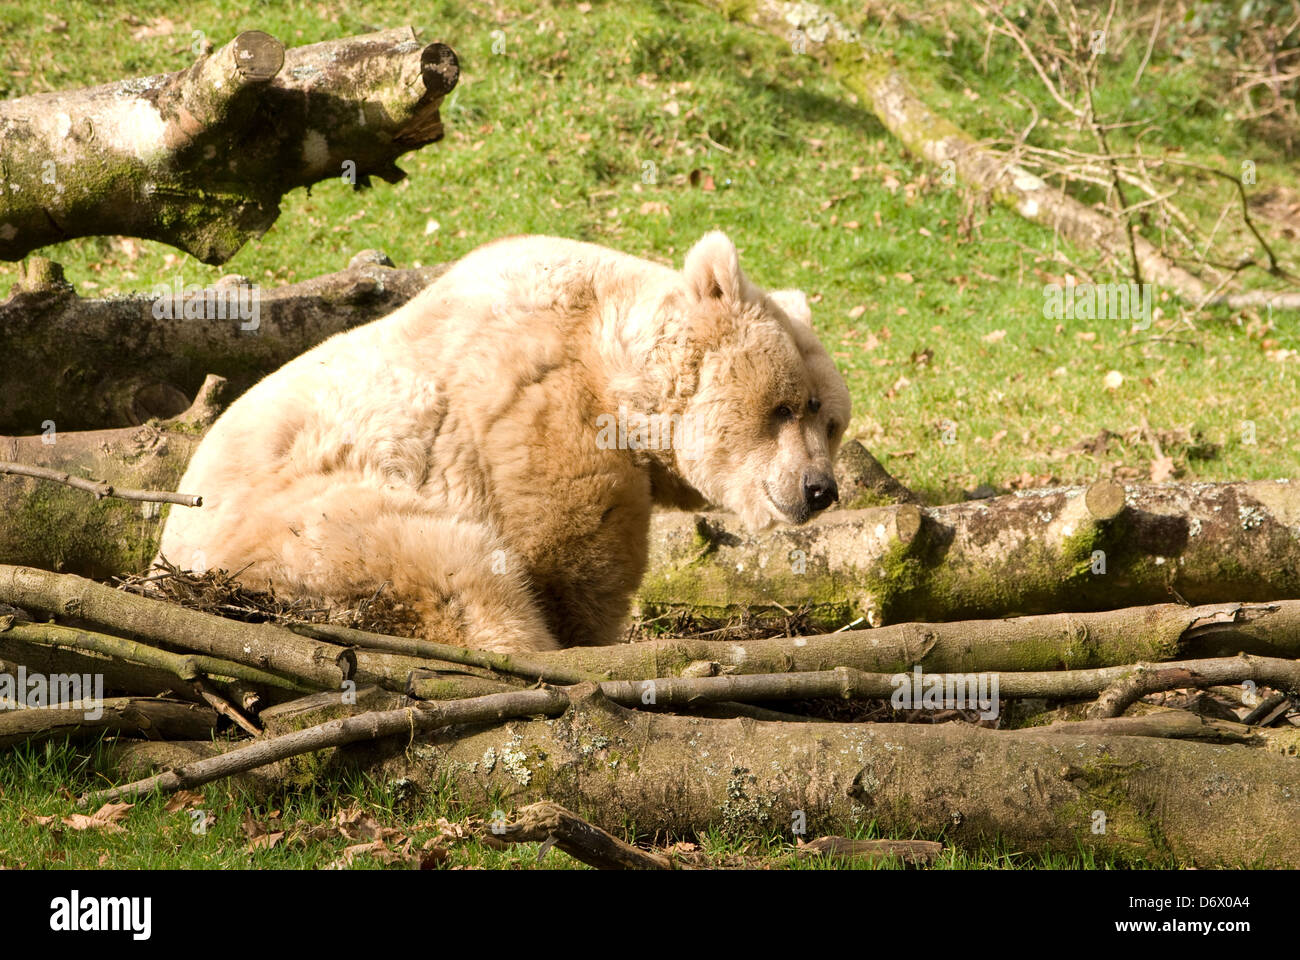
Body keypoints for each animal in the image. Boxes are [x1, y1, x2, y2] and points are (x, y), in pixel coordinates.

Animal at [158, 231, 852, 653]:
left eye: (831, 421)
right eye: (784, 407)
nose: (819, 489)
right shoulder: (540, 404)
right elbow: (568, 552)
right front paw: (583, 639)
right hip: (305, 531)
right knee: (454, 571)